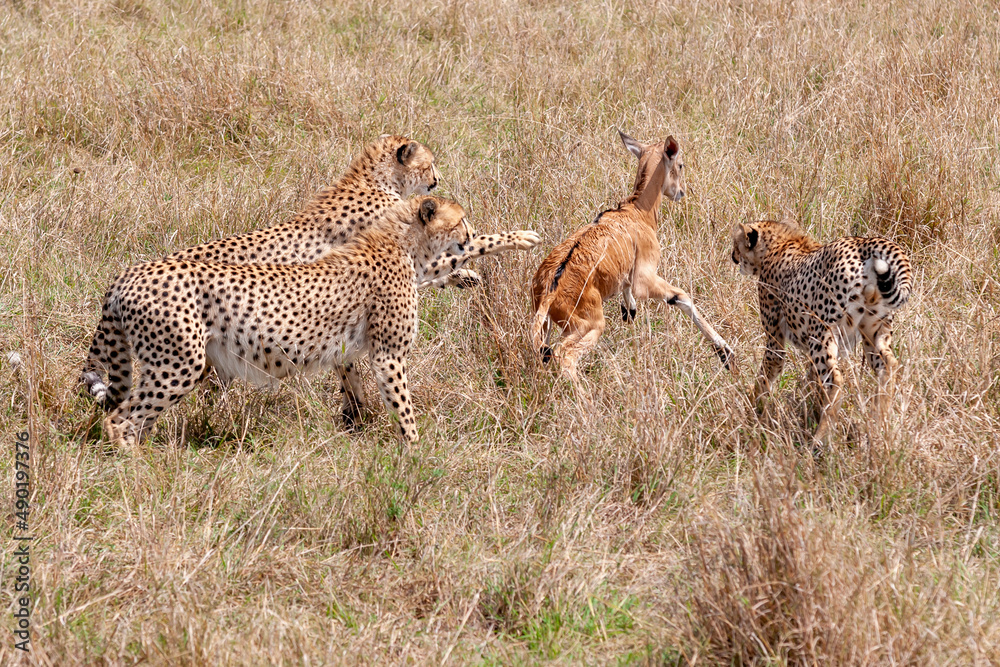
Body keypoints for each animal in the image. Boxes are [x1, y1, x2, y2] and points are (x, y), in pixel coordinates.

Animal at [80, 196, 540, 447]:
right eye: (460, 220)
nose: (468, 232)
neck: (399, 242)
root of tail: (128, 273)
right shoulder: (389, 354)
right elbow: (404, 408)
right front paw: (418, 452)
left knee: (132, 416)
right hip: (178, 362)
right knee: (120, 419)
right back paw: (141, 472)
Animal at [731, 219, 912, 441]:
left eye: (736, 244)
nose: (733, 256)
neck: (778, 244)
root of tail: (863, 242)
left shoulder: (776, 339)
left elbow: (768, 369)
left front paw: (753, 403)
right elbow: (813, 382)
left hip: (823, 332)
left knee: (836, 379)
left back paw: (821, 438)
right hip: (872, 331)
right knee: (888, 365)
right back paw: (880, 424)